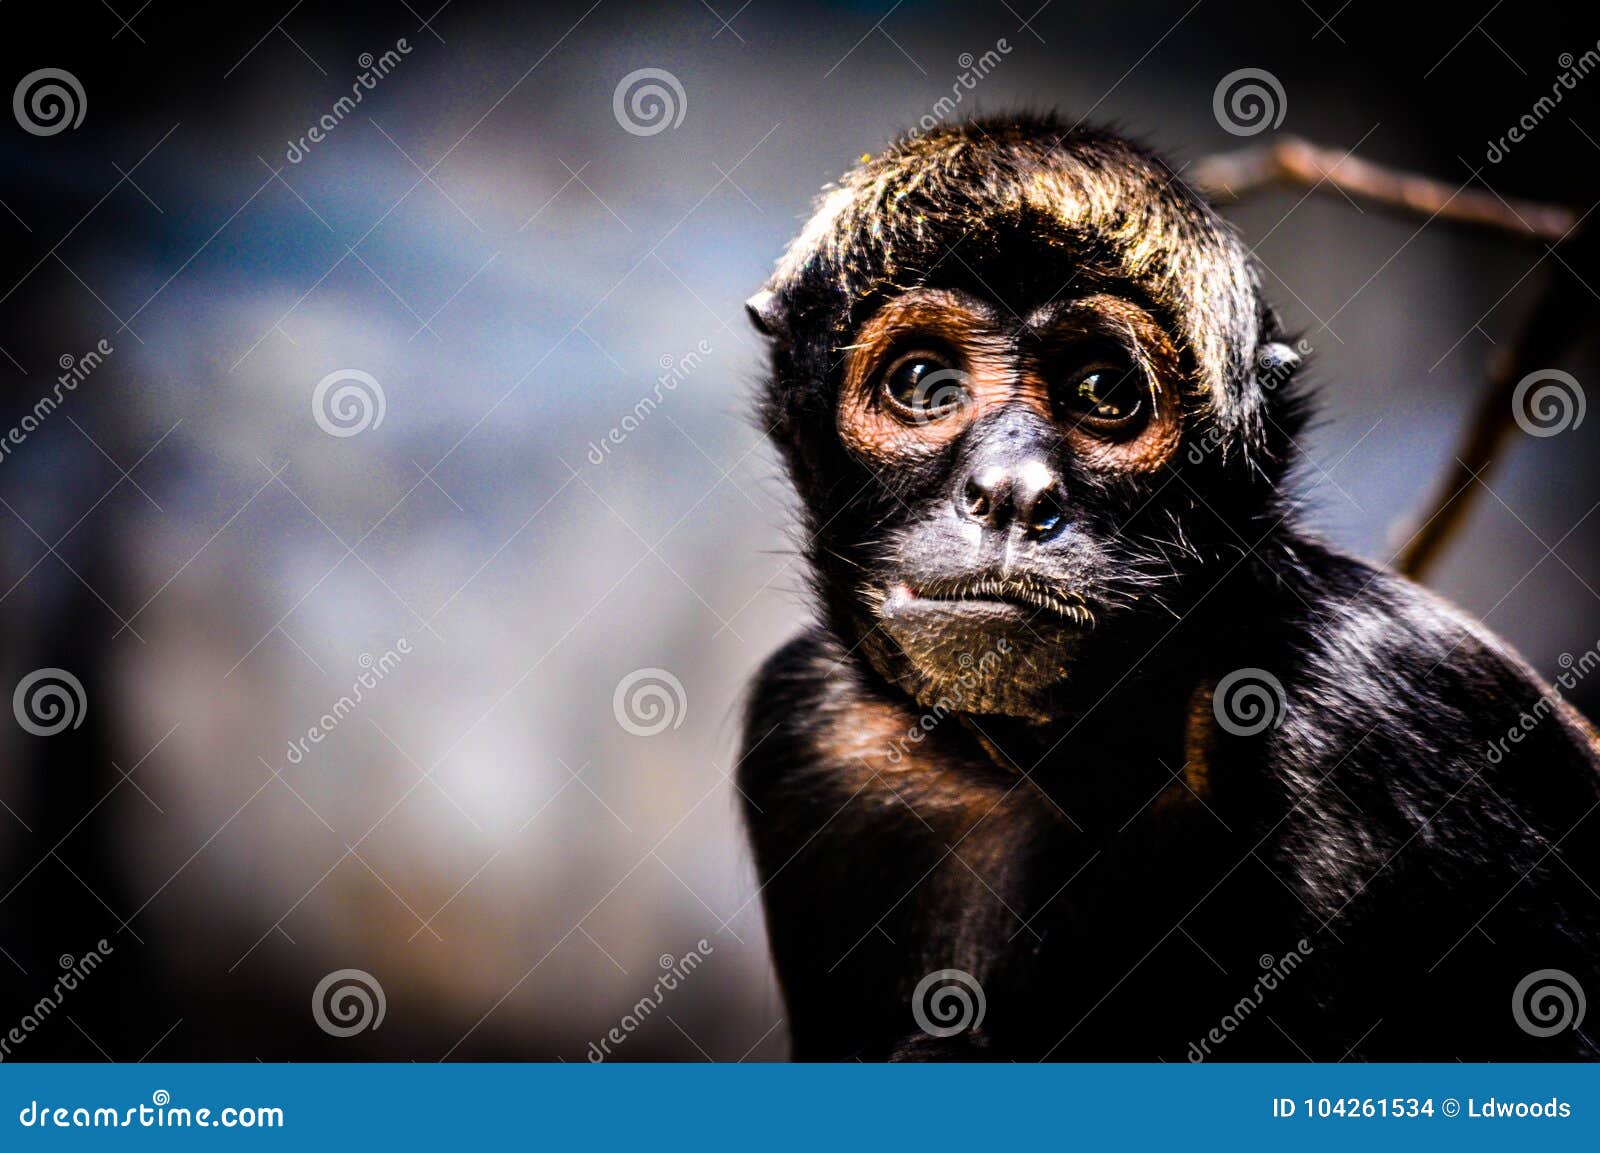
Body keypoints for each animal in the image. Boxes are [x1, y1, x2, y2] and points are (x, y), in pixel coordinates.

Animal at [737, 114, 1600, 1061]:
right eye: (924, 383)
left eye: (1103, 390)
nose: (1012, 493)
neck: (1070, 765)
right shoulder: (811, 731)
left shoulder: (1376, 705)